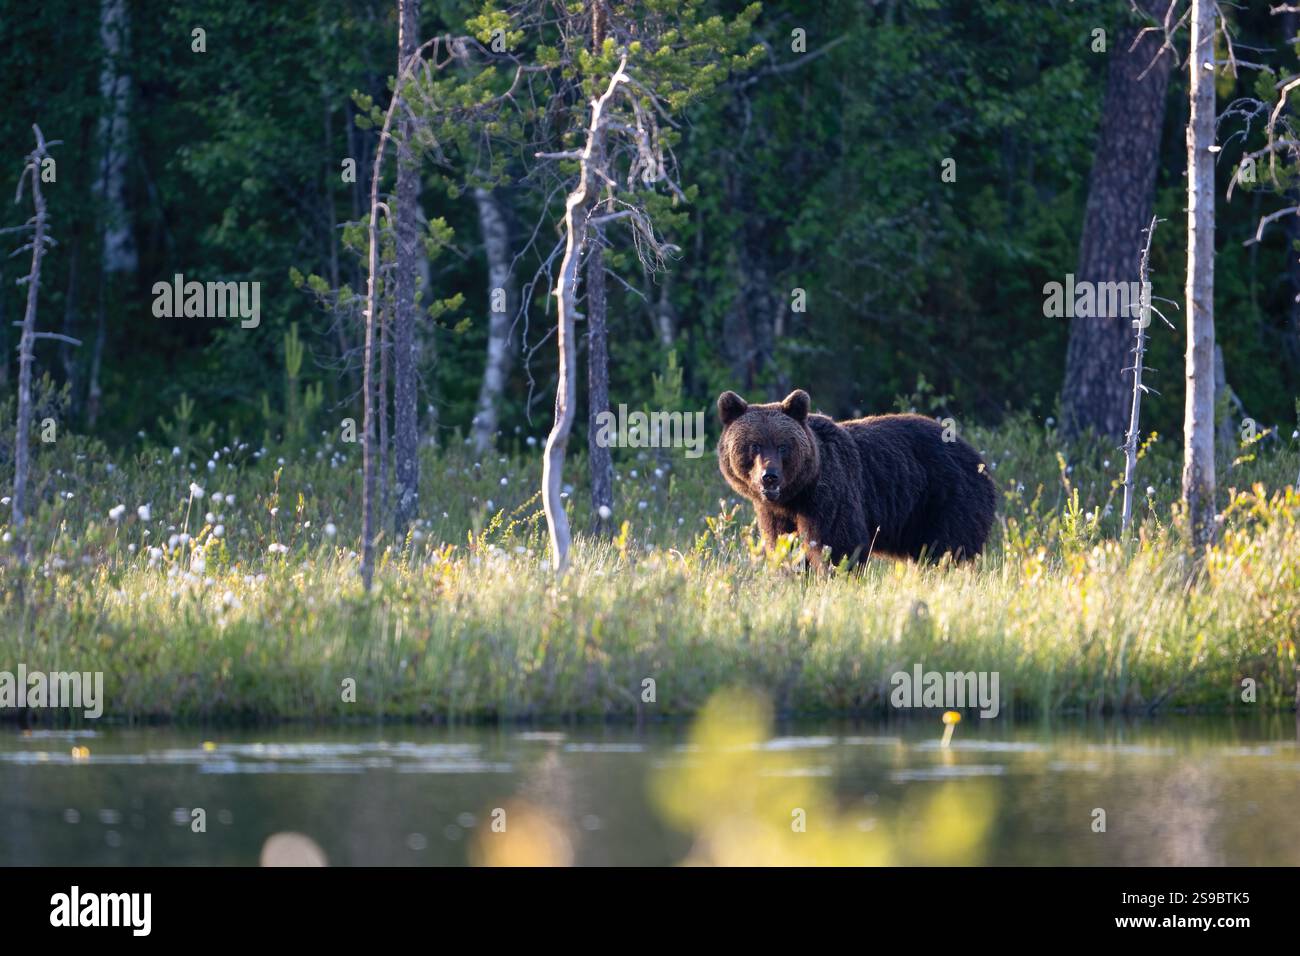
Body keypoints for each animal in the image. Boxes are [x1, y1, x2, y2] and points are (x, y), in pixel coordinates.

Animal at [716, 389, 996, 568]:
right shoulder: (775, 512)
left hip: (948, 498)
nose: (770, 477)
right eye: (754, 446)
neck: (796, 495)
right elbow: (784, 545)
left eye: (783, 446)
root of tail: (978, 457)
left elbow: (839, 544)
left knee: (948, 548)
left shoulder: (830, 493)